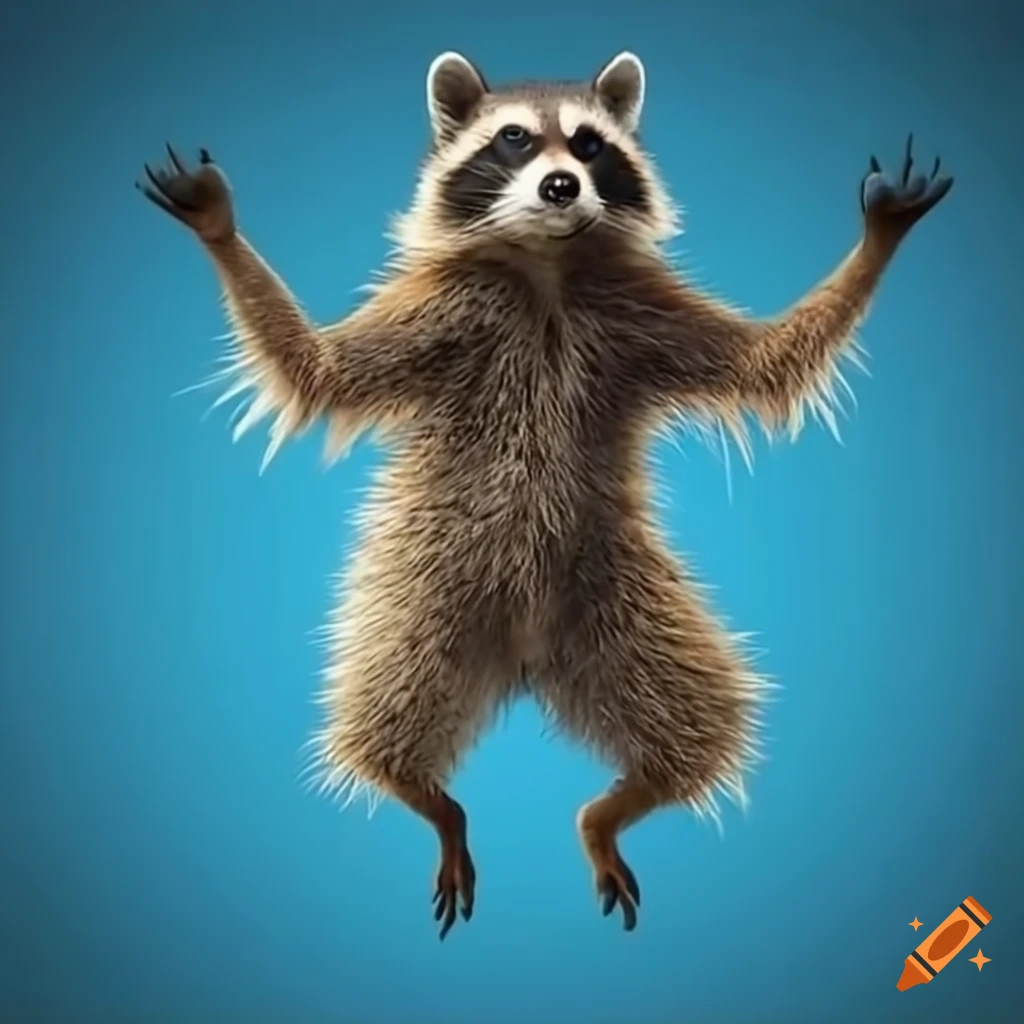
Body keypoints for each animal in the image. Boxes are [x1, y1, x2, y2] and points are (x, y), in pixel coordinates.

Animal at [138, 51, 953, 938]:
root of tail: (525, 654)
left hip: (627, 603)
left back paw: (613, 809)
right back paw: (427, 796)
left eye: (591, 145)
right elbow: (320, 370)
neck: (547, 266)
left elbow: (764, 363)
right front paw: (219, 227)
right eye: (515, 140)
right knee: (388, 702)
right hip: (427, 590)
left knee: (699, 719)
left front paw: (878, 238)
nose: (563, 185)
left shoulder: (641, 316)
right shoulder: (443, 314)